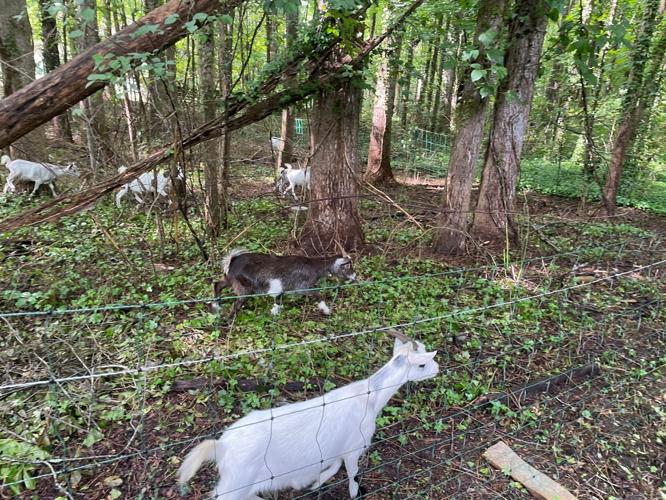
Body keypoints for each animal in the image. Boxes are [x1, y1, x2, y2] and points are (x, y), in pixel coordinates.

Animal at [178, 330, 439, 499]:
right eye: (422, 364)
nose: (437, 368)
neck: (370, 396)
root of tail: (221, 446)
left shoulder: (336, 448)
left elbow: (334, 466)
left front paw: (316, 481)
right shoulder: (354, 447)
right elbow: (352, 475)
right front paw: (352, 492)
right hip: (237, 483)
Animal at [212, 248, 356, 318]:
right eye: (347, 265)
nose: (354, 276)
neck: (313, 266)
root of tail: (232, 261)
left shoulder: (282, 289)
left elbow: (278, 302)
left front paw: (273, 313)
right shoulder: (302, 287)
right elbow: (318, 295)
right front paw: (326, 310)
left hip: (230, 280)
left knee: (217, 284)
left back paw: (216, 306)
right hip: (244, 288)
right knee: (236, 304)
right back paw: (228, 321)